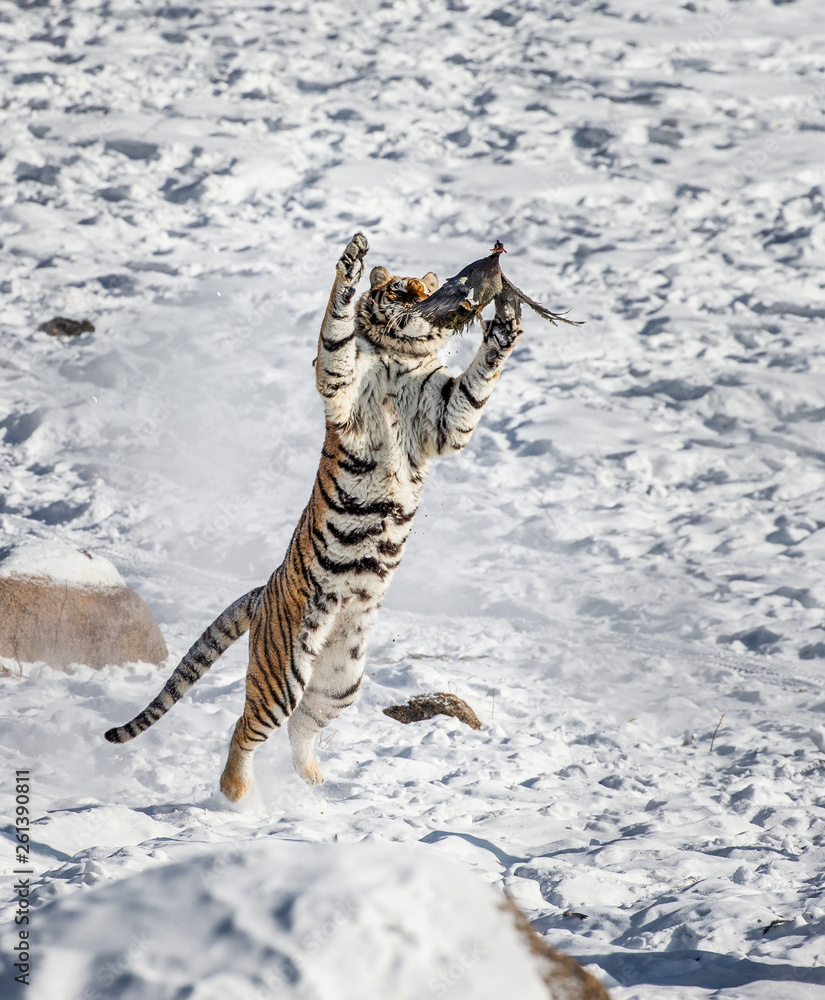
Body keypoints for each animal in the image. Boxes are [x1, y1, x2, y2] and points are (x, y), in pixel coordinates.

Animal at [105, 232, 525, 802]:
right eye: (402, 289)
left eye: (425, 288)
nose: (429, 303)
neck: (400, 356)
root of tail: (263, 590)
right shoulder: (342, 382)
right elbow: (336, 330)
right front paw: (352, 260)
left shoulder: (444, 417)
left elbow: (476, 384)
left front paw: (506, 323)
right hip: (283, 671)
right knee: (245, 726)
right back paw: (237, 797)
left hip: (341, 677)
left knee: (302, 728)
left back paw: (317, 783)